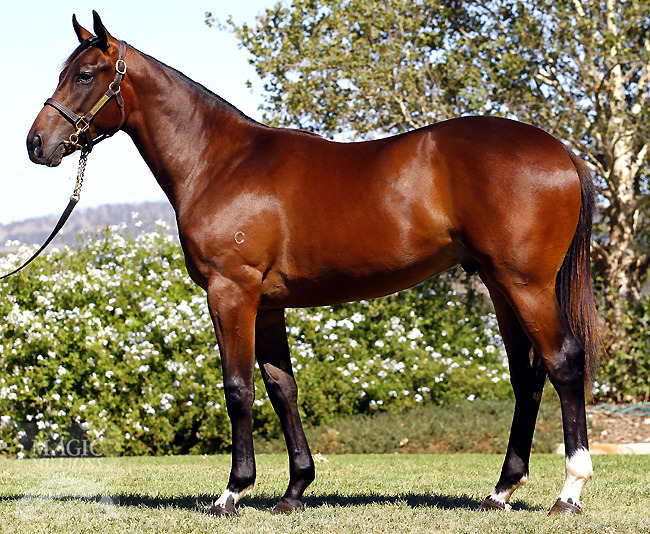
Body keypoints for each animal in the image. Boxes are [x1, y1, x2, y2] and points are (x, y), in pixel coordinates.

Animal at [26, 12, 600, 517]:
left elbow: (238, 388)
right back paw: (501, 491)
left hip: (526, 284)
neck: (219, 163)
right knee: (527, 378)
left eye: (84, 74)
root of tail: (562, 152)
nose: (36, 144)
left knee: (564, 363)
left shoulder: (231, 292)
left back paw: (570, 492)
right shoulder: (267, 304)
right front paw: (294, 490)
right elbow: (282, 388)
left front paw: (232, 493)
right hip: (501, 288)